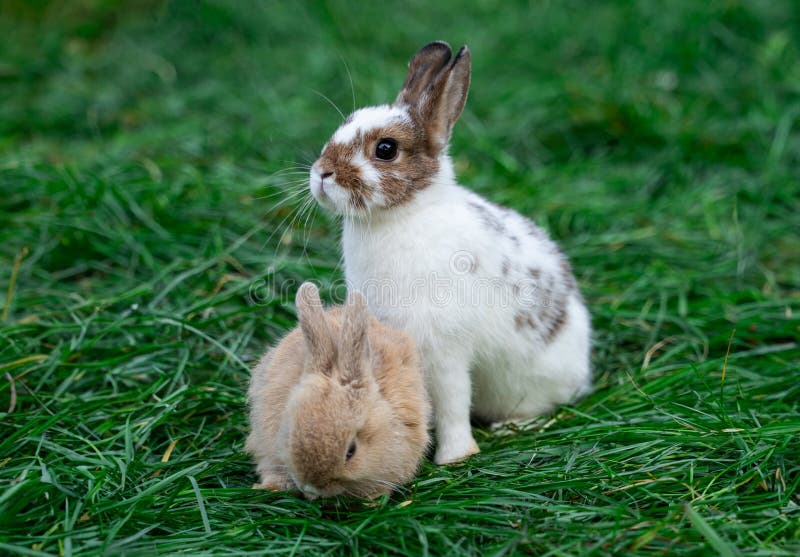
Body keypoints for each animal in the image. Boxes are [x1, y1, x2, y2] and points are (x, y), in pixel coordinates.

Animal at [307, 41, 592, 465]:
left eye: (386, 149)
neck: (402, 215)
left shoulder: (444, 348)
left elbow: (453, 403)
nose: (322, 173)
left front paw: (454, 456)